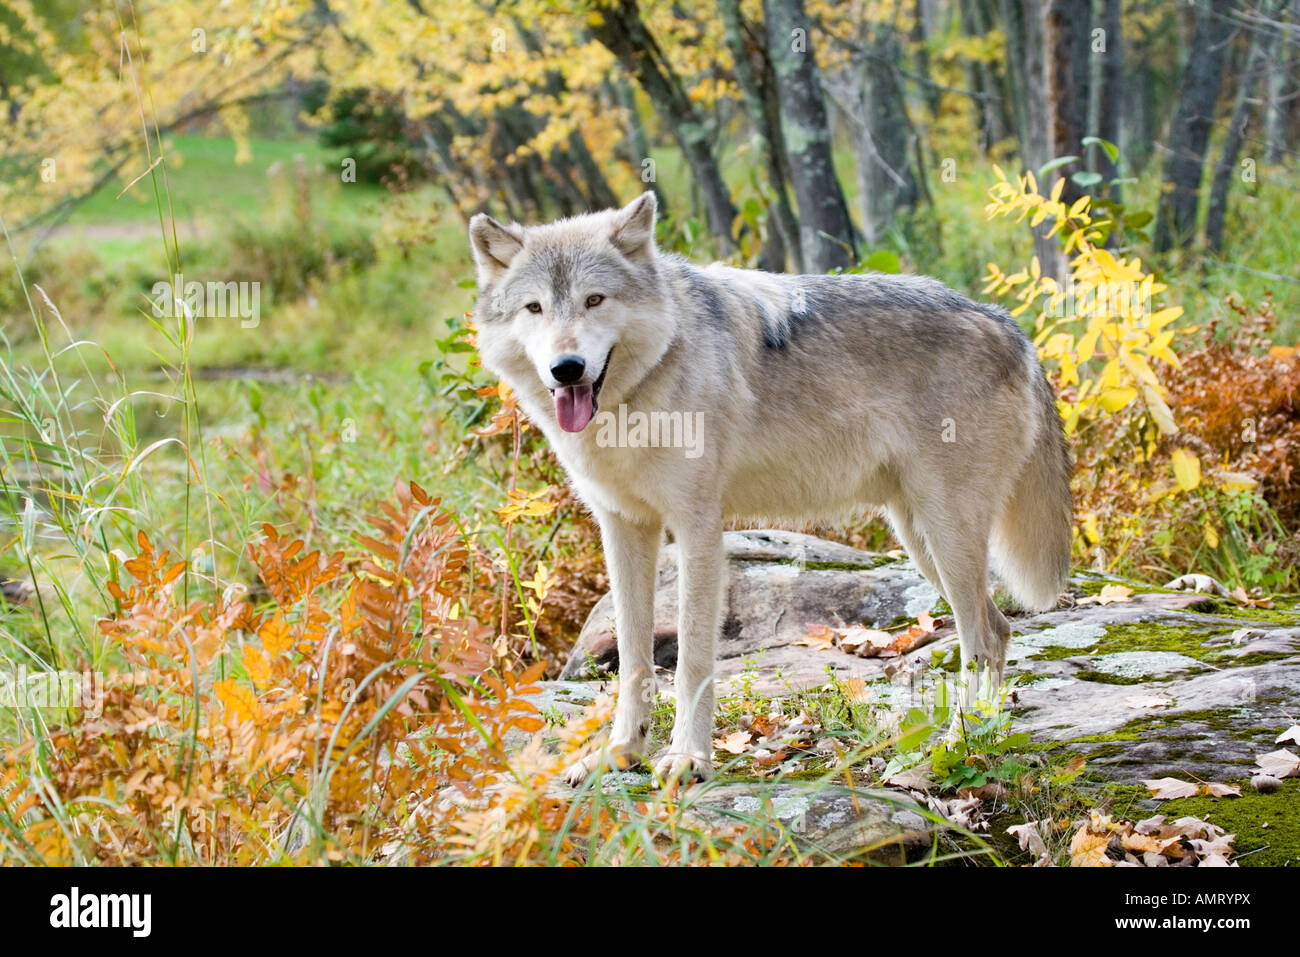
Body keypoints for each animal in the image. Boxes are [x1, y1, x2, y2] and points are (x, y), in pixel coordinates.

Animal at [469, 193, 1072, 784]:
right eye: (534, 308)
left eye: (594, 300)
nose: (566, 368)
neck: (637, 397)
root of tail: (1010, 326)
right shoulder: (623, 529)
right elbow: (635, 659)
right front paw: (622, 753)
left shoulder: (698, 529)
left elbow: (690, 659)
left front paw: (688, 760)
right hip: (920, 539)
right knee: (1000, 629)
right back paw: (978, 733)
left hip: (945, 535)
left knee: (984, 638)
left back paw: (957, 744)